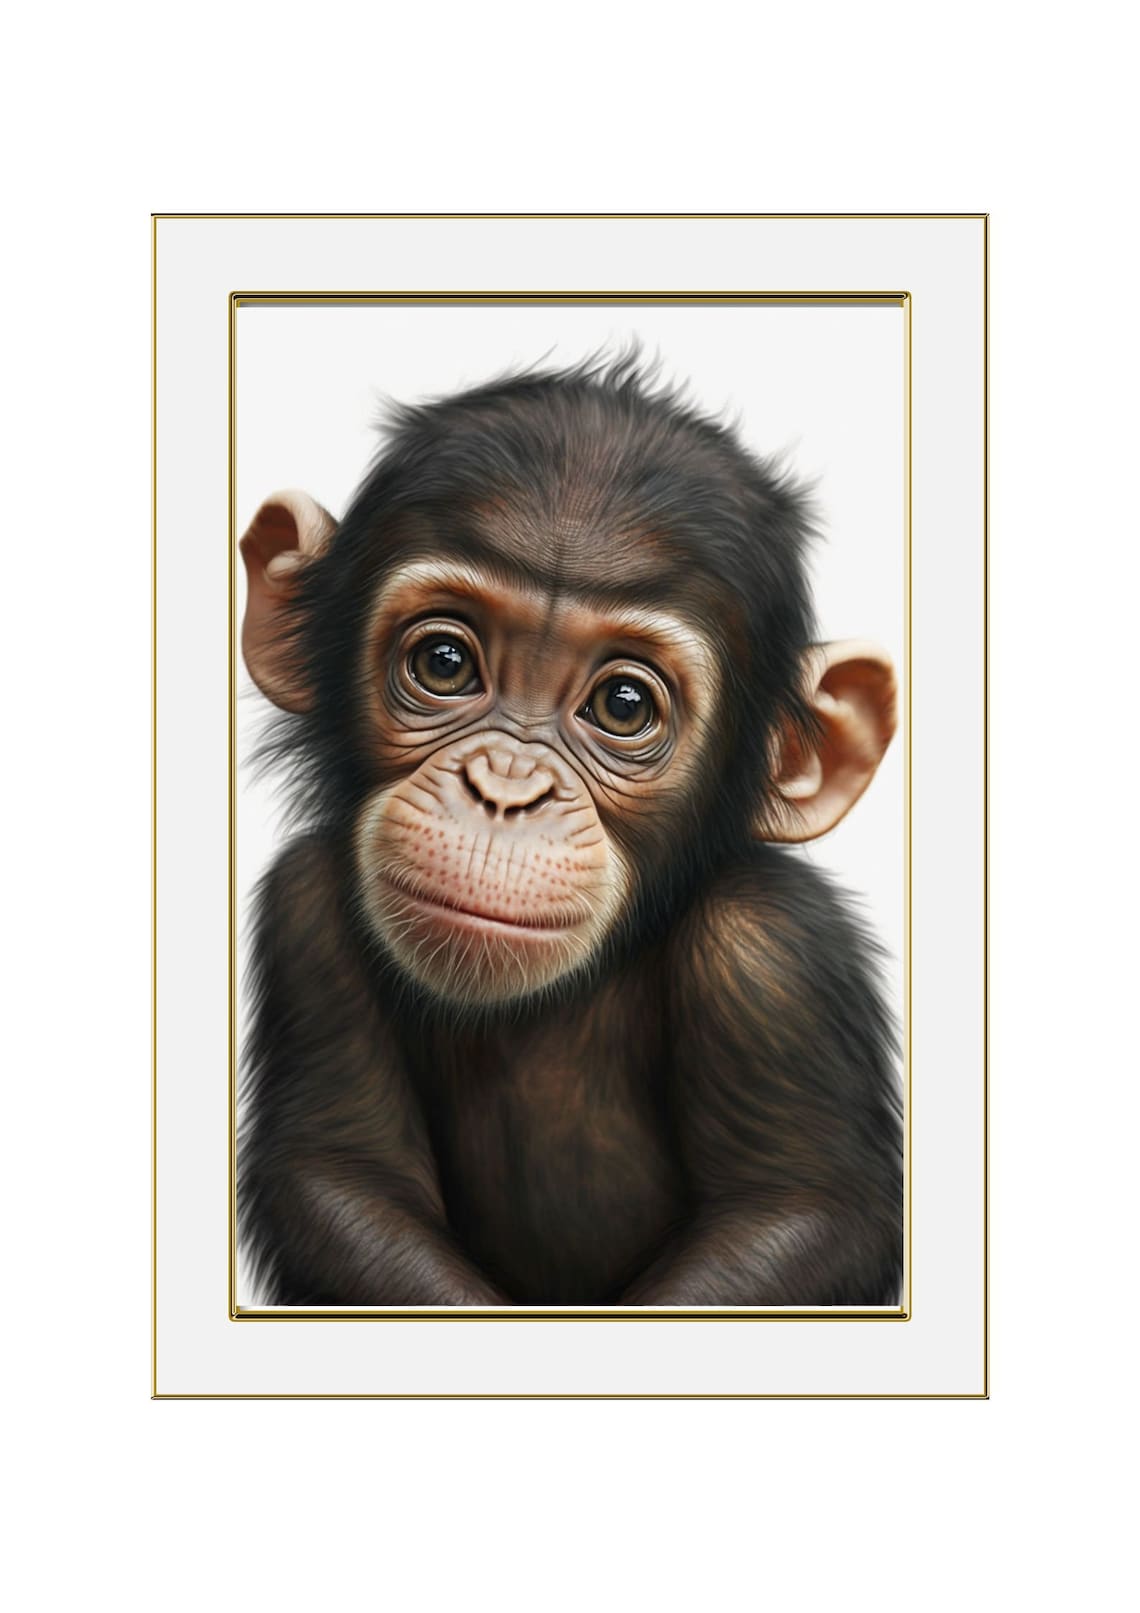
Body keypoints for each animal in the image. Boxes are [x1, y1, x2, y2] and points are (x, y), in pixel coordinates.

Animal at [238, 353, 903, 1308]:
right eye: (445, 661)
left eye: (622, 704)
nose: (504, 790)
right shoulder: (304, 910)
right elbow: (342, 1174)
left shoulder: (774, 952)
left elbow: (802, 1208)